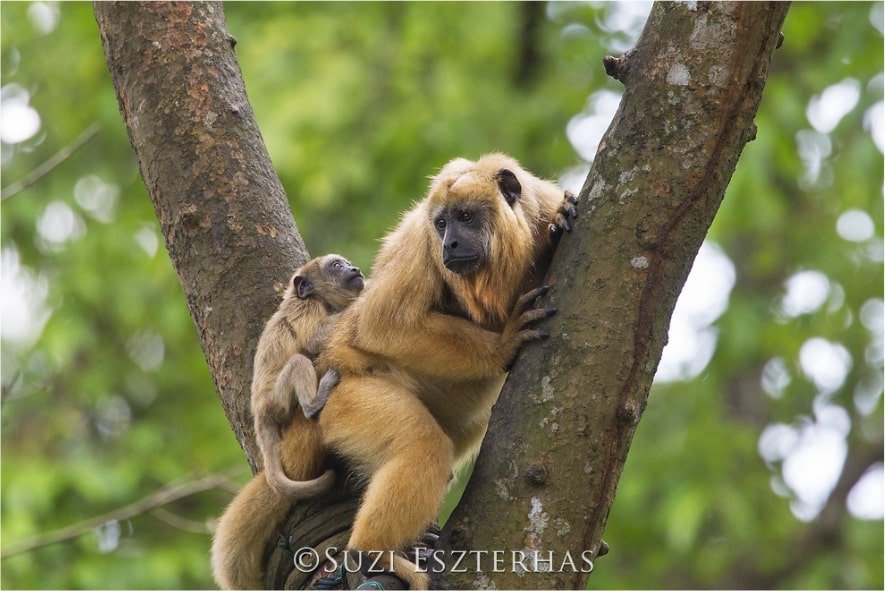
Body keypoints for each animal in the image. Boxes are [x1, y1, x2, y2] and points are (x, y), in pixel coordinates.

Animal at [251, 254, 364, 498]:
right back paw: (313, 404)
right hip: (276, 400)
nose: (354, 268)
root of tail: (259, 411)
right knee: (298, 362)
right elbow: (314, 338)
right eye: (336, 266)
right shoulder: (307, 306)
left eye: (347, 263)